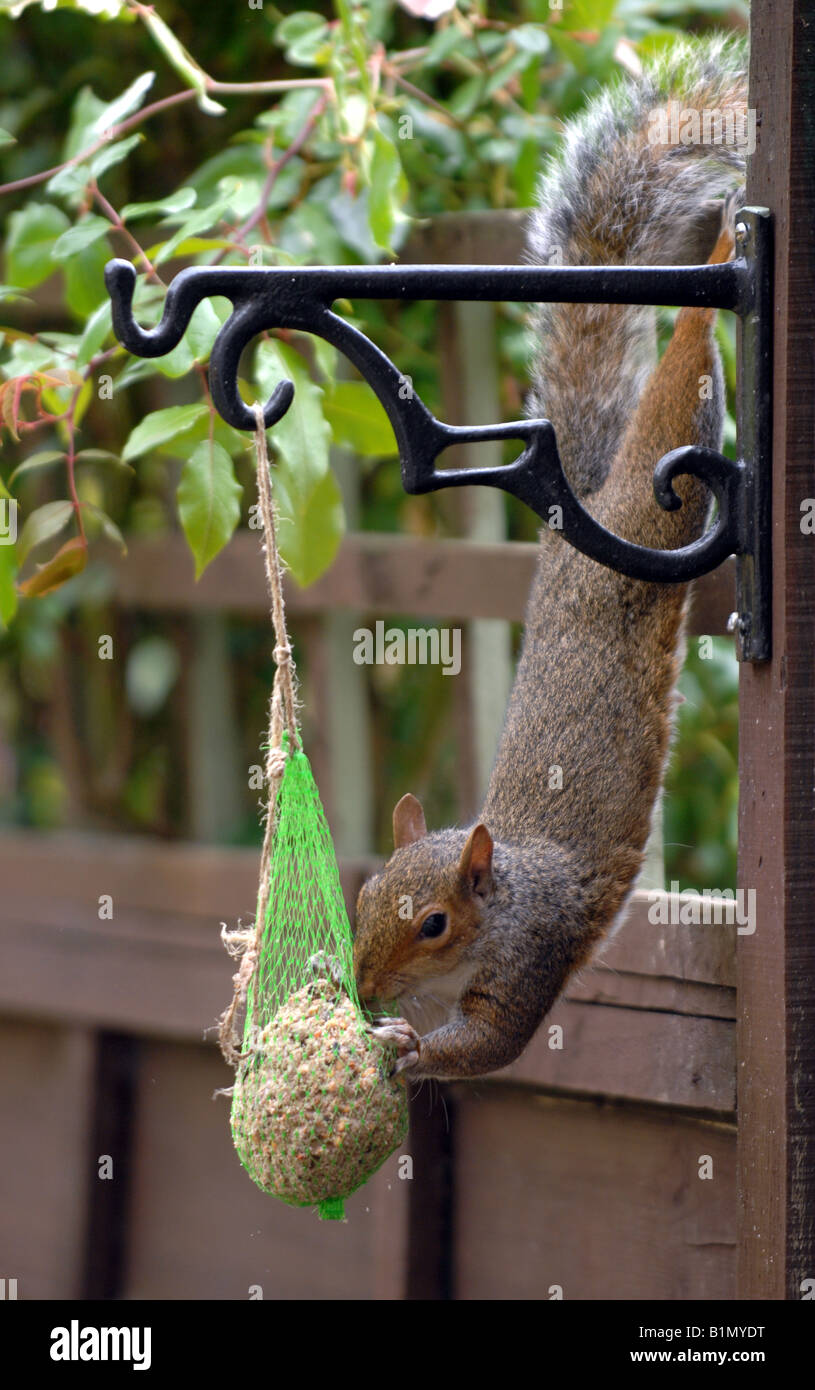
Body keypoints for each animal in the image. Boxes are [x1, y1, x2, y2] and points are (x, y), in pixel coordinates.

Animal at [352, 35, 749, 1082]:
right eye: (362, 897)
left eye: (434, 924)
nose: (362, 989)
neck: (503, 898)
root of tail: (589, 504)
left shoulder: (529, 957)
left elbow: (488, 1045)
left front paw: (408, 1050)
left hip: (670, 485)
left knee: (690, 357)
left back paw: (724, 258)